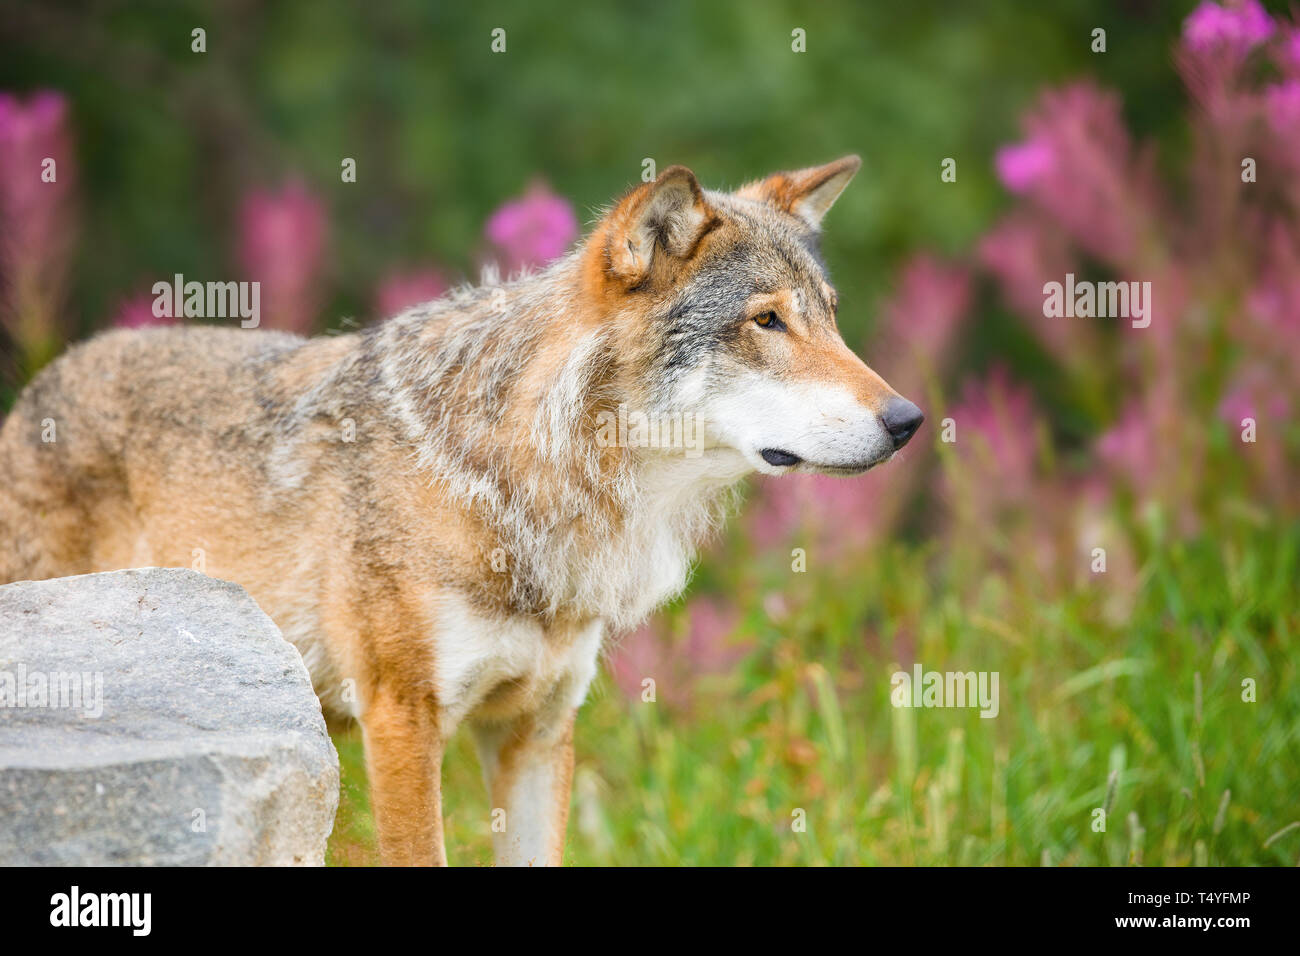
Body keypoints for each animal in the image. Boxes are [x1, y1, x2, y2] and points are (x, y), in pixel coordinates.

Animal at [0, 157, 923, 865]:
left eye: (830, 319)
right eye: (766, 321)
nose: (911, 420)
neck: (532, 483)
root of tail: (42, 384)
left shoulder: (537, 729)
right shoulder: (404, 721)